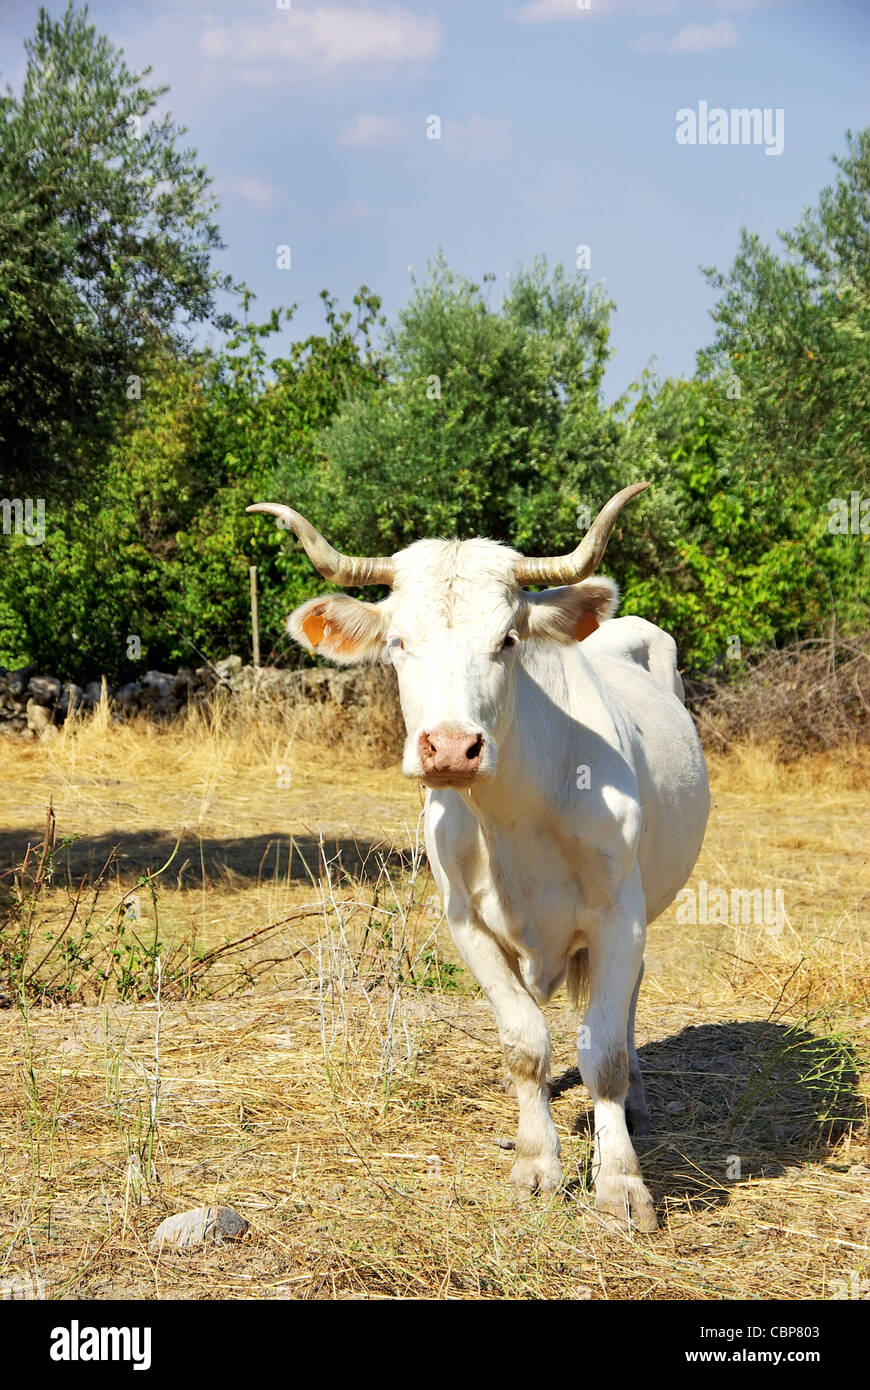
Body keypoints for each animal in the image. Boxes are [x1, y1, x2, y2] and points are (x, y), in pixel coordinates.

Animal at [247, 484, 710, 1232]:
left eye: (507, 640)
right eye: (399, 642)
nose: (450, 748)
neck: (516, 819)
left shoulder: (621, 915)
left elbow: (604, 1050)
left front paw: (620, 1183)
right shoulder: (467, 922)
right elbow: (524, 1043)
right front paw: (536, 1162)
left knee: (628, 1009)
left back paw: (637, 1102)